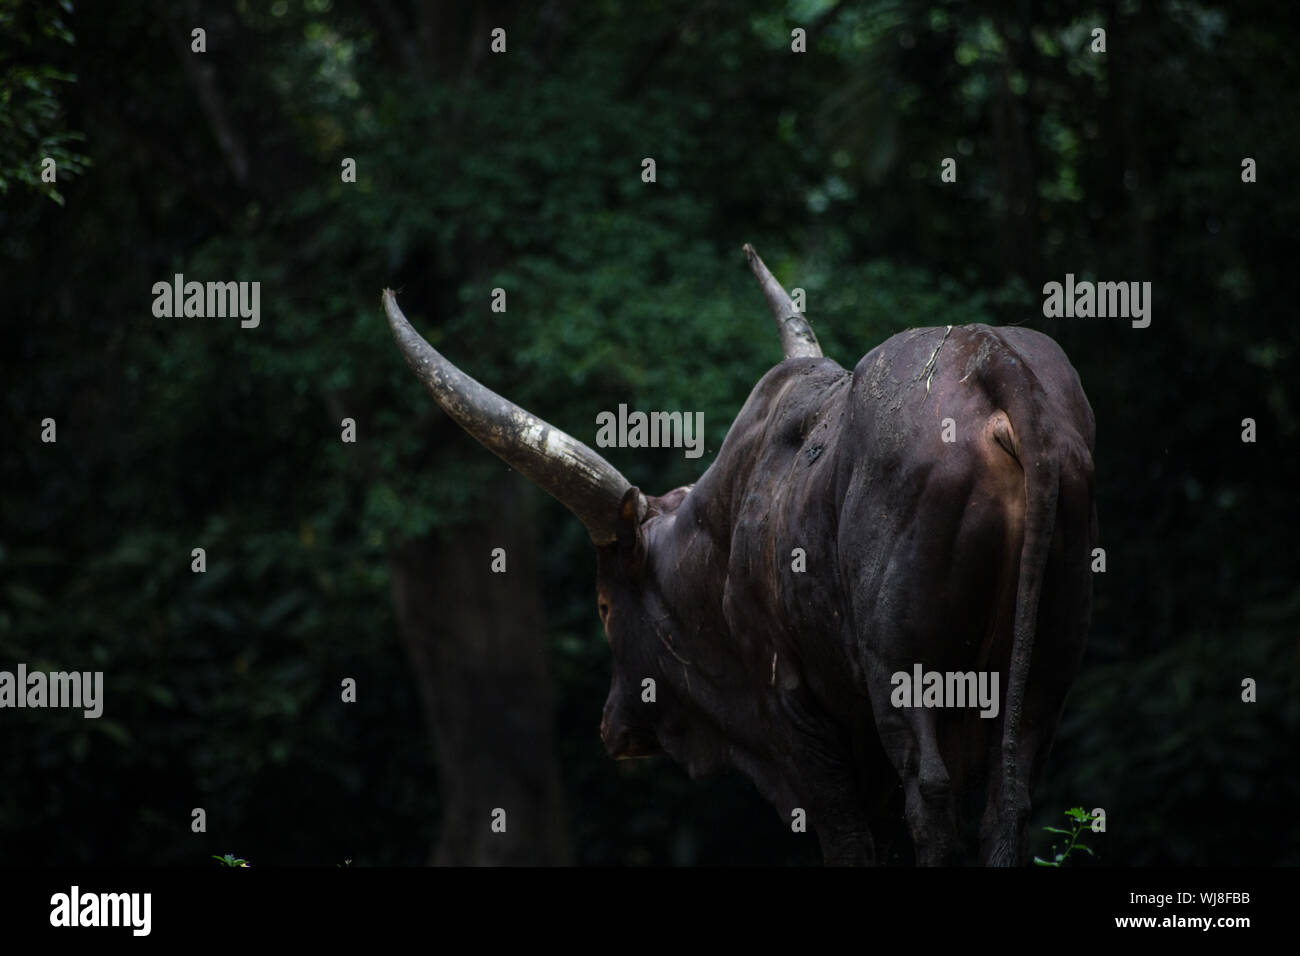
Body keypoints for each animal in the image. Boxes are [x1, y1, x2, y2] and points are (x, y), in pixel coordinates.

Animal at [382, 245, 1096, 865]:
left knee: (933, 797)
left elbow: (848, 837)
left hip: (904, 672)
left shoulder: (796, 716)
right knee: (1008, 804)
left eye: (605, 606)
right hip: (1047, 669)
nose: (611, 726)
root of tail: (994, 366)